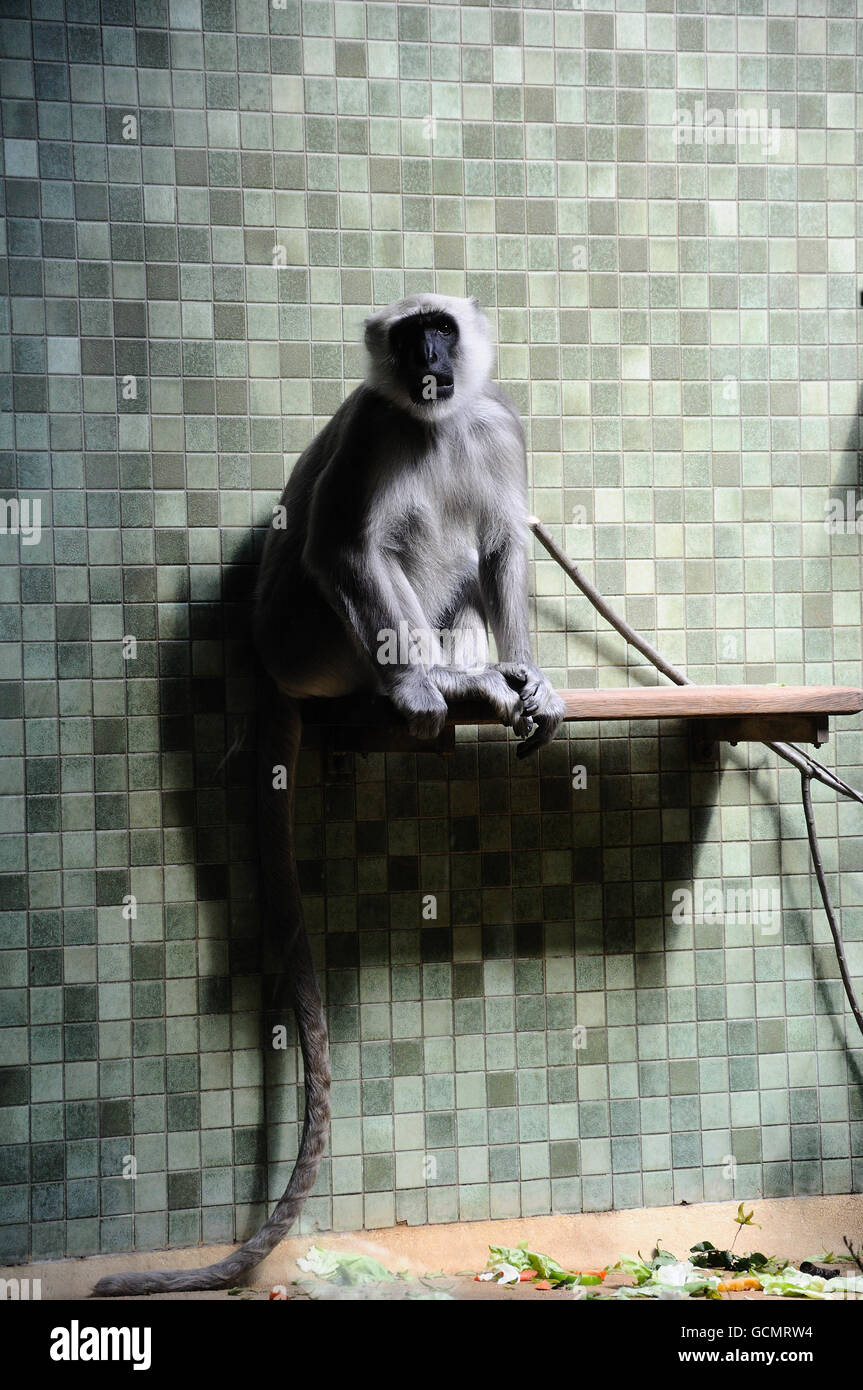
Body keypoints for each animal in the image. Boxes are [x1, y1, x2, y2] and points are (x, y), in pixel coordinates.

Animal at [93, 294, 564, 1295]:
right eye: (411, 331)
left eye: (442, 329)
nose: (427, 354)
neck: (438, 419)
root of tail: (265, 661)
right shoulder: (377, 424)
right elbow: (345, 543)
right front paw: (432, 690)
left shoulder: (496, 420)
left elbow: (504, 543)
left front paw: (533, 676)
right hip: (310, 634)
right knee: (375, 542)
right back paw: (433, 688)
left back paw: (486, 679)